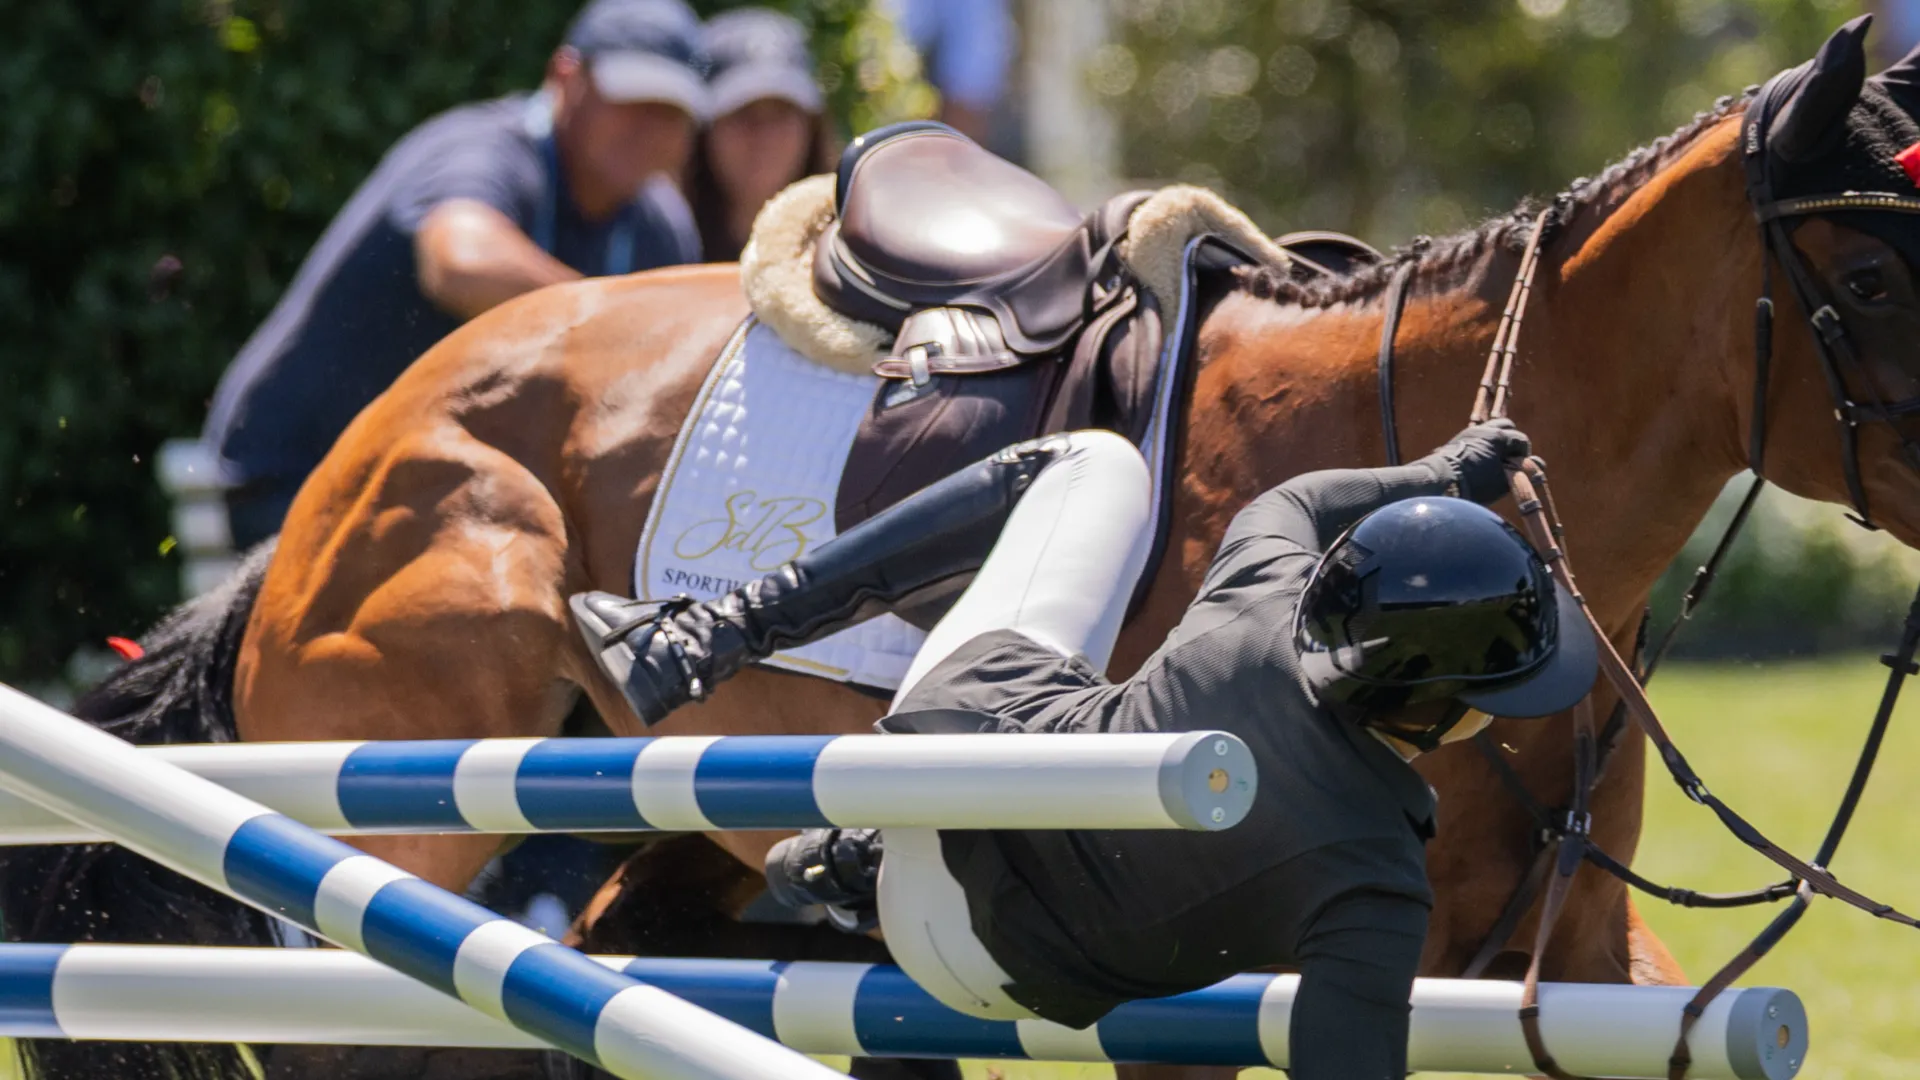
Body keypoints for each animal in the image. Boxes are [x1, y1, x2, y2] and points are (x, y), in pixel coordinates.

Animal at [14, 19, 1920, 1080]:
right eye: (1876, 273)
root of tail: (356, 452)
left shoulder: (1571, 964)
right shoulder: (1238, 982)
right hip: (413, 774)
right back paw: (647, 640)